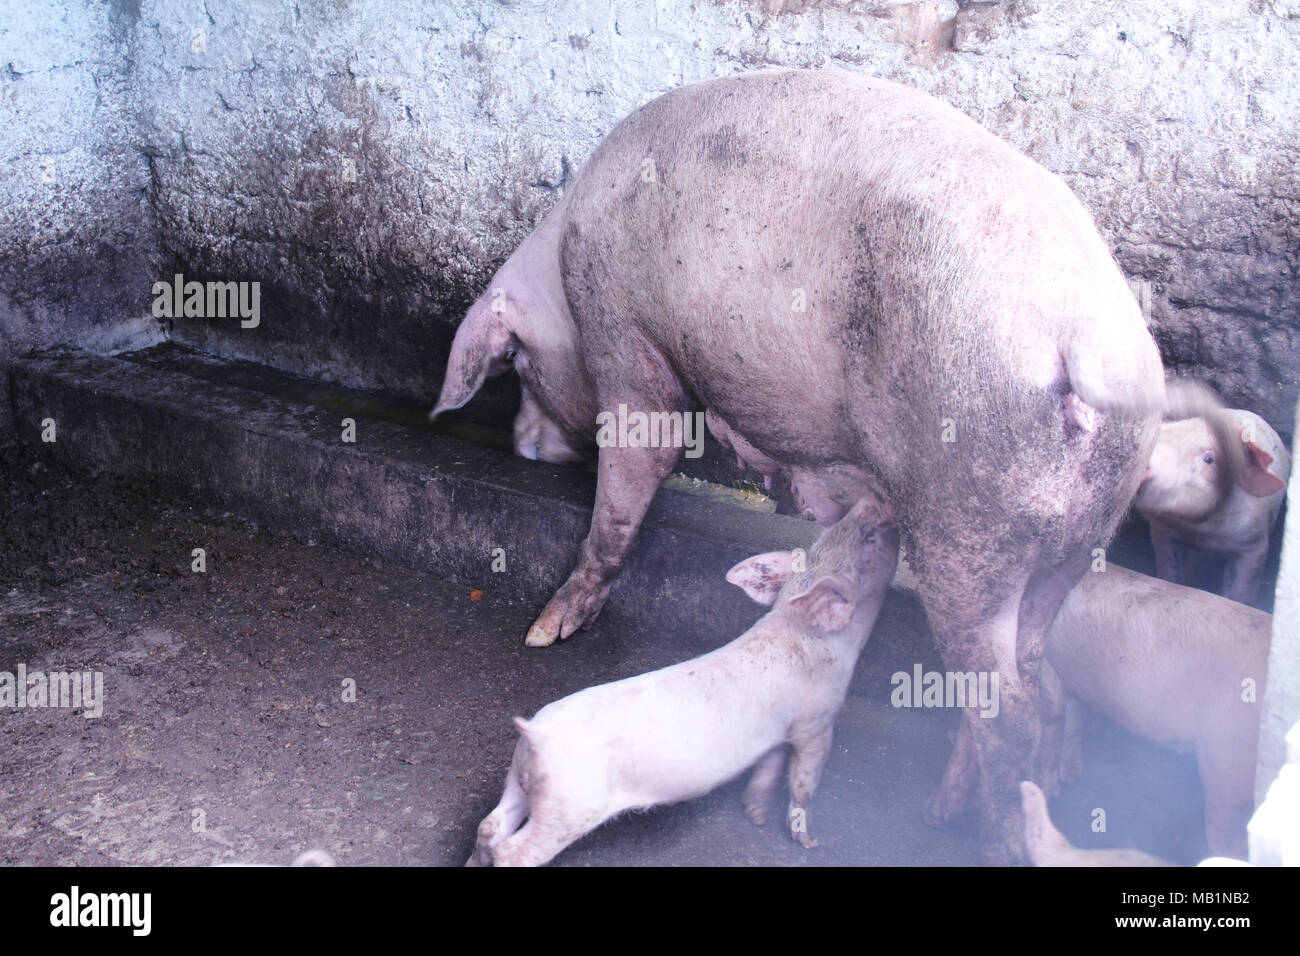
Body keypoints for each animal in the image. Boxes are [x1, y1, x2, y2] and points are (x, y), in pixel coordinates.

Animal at [465, 497, 898, 867]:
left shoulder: (782, 728)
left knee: (490, 825)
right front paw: (808, 842)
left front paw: (756, 814)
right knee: (514, 851)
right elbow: (805, 781)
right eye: (869, 538)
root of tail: (536, 733)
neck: (809, 632)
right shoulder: (817, 719)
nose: (877, 501)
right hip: (566, 805)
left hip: (519, 779)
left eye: (831, 533)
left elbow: (770, 762)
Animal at [1135, 409, 1291, 607]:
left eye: (1209, 459)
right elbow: (1169, 572)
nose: (1146, 465)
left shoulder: (1255, 543)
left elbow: (1243, 591)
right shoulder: (1162, 530)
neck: (1202, 530)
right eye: (1157, 440)